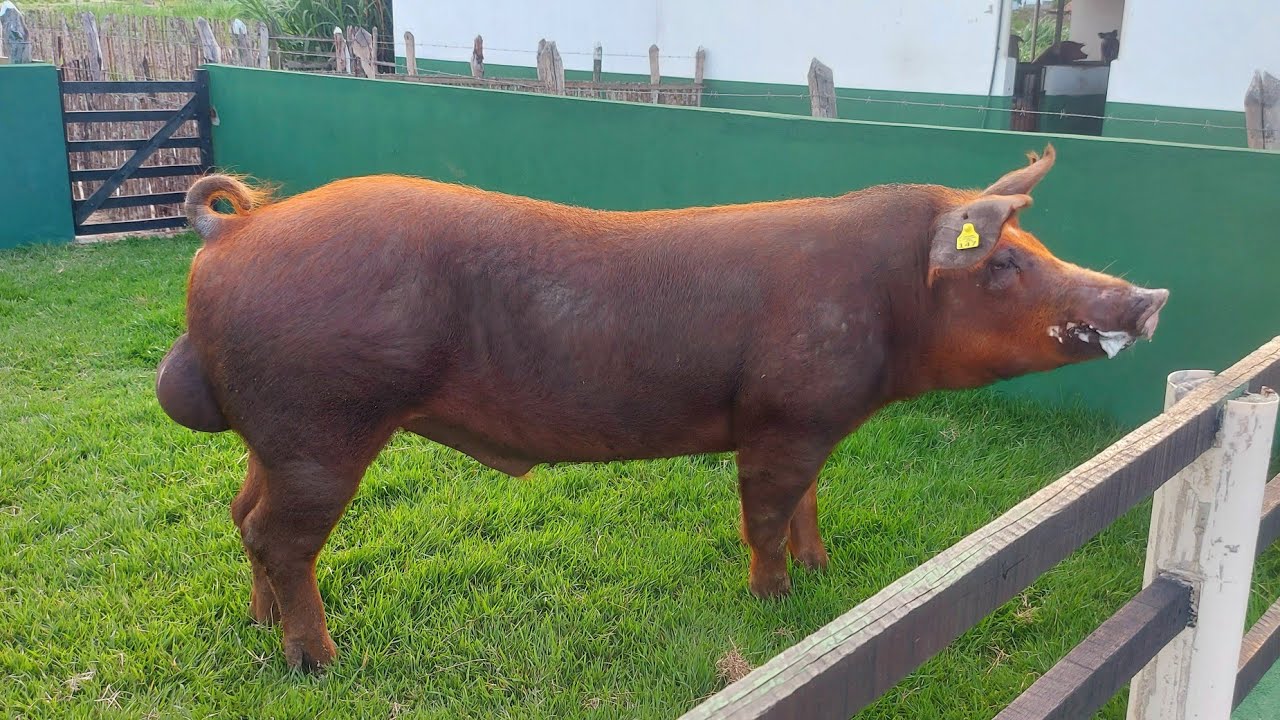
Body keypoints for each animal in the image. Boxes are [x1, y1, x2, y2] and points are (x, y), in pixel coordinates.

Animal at [156, 145, 1168, 670]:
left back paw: (259, 628)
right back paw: (317, 661)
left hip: (275, 436)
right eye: (1005, 263)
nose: (1148, 296)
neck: (885, 309)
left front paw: (825, 573)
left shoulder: (815, 423)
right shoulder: (777, 418)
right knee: (283, 537)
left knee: (243, 517)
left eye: (1036, 247)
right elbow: (764, 514)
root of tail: (232, 230)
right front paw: (777, 605)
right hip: (322, 422)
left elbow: (809, 503)